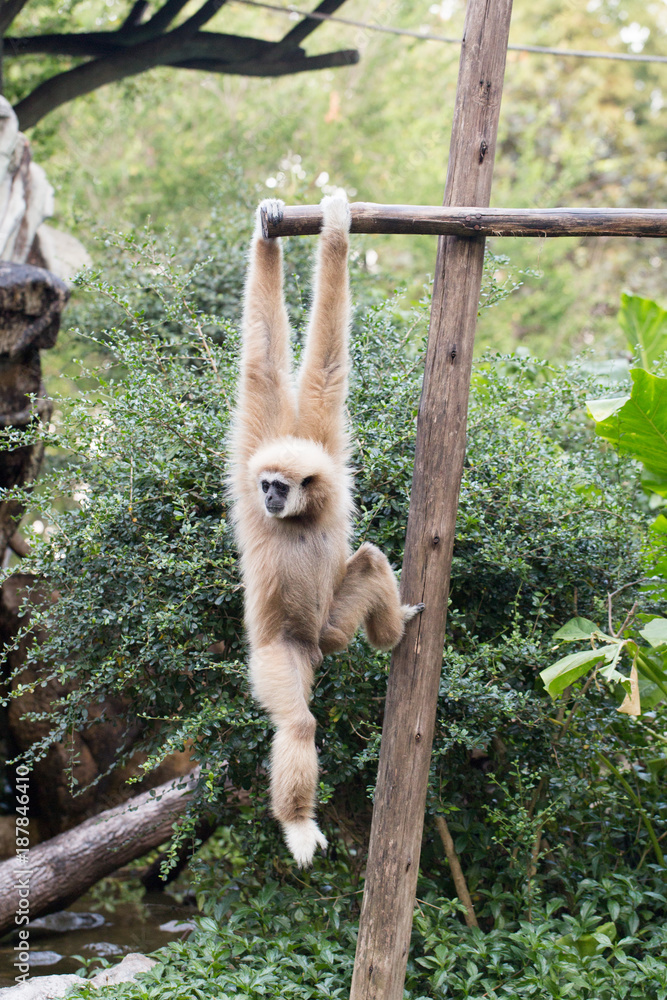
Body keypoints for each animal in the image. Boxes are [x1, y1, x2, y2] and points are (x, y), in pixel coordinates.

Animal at [230, 192, 424, 867]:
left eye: (280, 486)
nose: (268, 495)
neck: (303, 515)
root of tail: (314, 647)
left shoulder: (327, 456)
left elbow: (322, 369)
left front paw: (309, 230)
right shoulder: (250, 462)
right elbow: (262, 364)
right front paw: (299, 230)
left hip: (333, 629)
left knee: (367, 560)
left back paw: (395, 630)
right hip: (278, 654)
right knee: (297, 722)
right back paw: (296, 823)